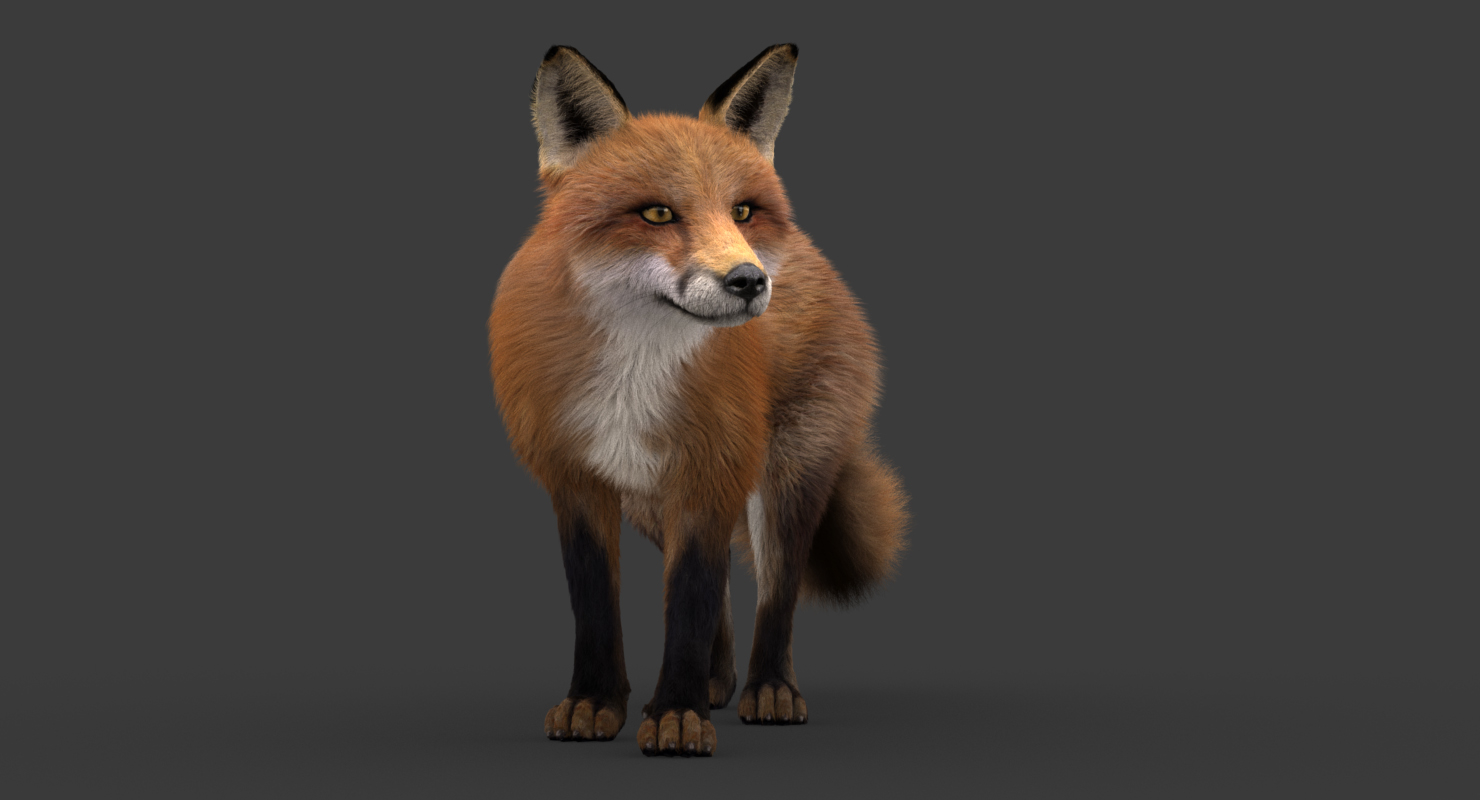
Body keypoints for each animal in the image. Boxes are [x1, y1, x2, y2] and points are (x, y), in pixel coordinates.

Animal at [488, 43, 908, 758]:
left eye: (741, 212)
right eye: (658, 214)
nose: (749, 281)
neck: (631, 380)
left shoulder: (711, 470)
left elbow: (691, 596)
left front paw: (676, 717)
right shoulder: (577, 480)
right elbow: (600, 601)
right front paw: (597, 702)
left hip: (784, 477)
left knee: (773, 591)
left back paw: (768, 689)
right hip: (651, 503)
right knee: (725, 593)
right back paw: (717, 681)